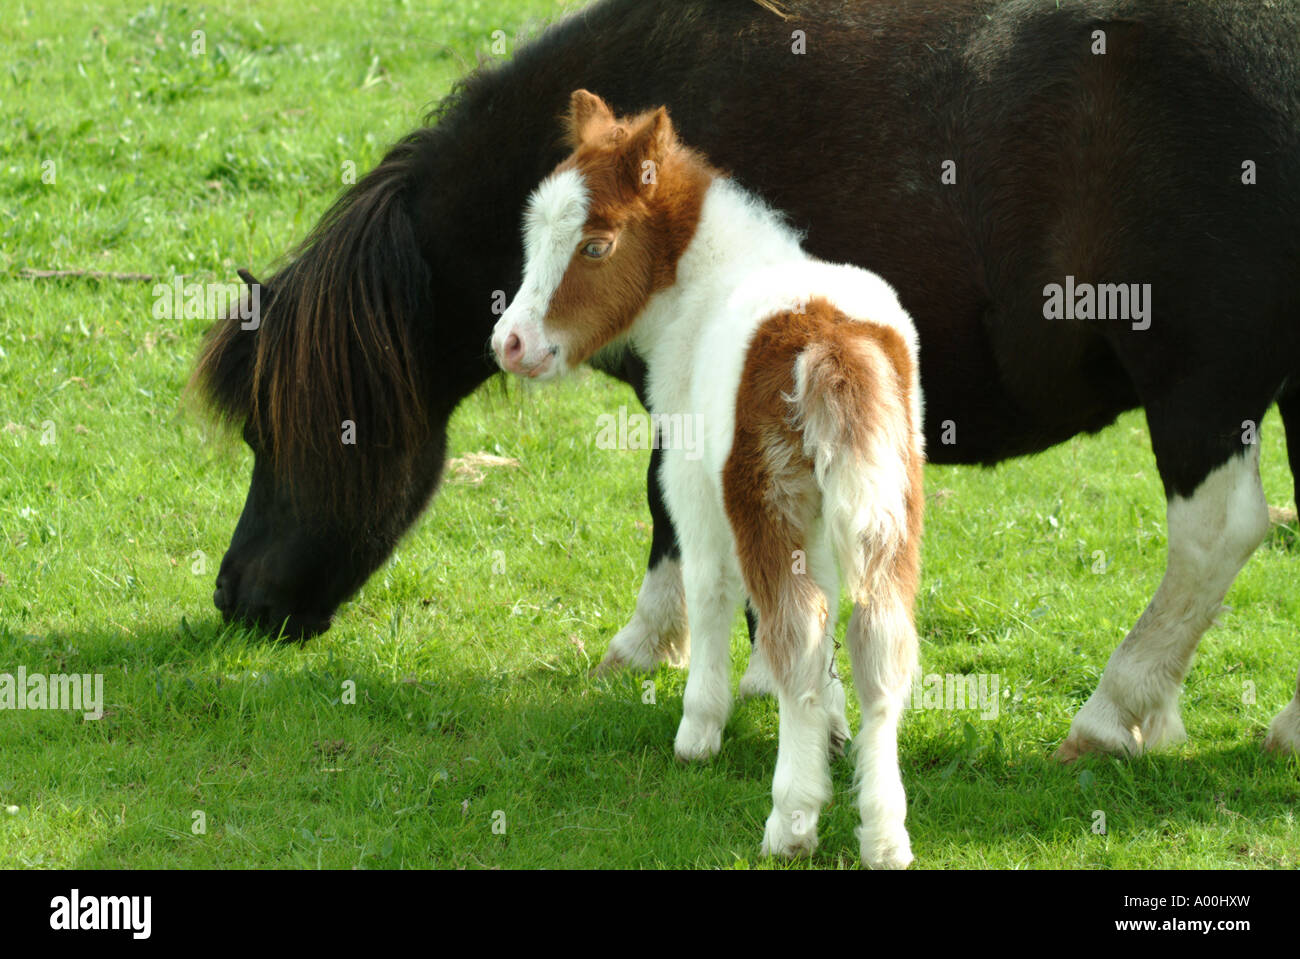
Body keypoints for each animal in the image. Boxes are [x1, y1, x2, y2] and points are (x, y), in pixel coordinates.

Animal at [192, 0, 1300, 759]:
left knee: (1217, 533)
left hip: (1198, 383)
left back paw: (1115, 711)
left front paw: (682, 652)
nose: (237, 598)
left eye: (272, 433)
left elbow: (675, 509)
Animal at [490, 90, 925, 866]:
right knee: (879, 638)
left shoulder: (691, 479)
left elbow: (708, 586)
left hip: (763, 495)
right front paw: (830, 731)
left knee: (797, 631)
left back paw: (790, 820)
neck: (704, 290)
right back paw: (884, 834)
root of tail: (829, 343)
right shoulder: (820, 511)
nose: (510, 343)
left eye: (595, 244)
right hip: (886, 500)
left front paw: (699, 726)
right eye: (533, 237)